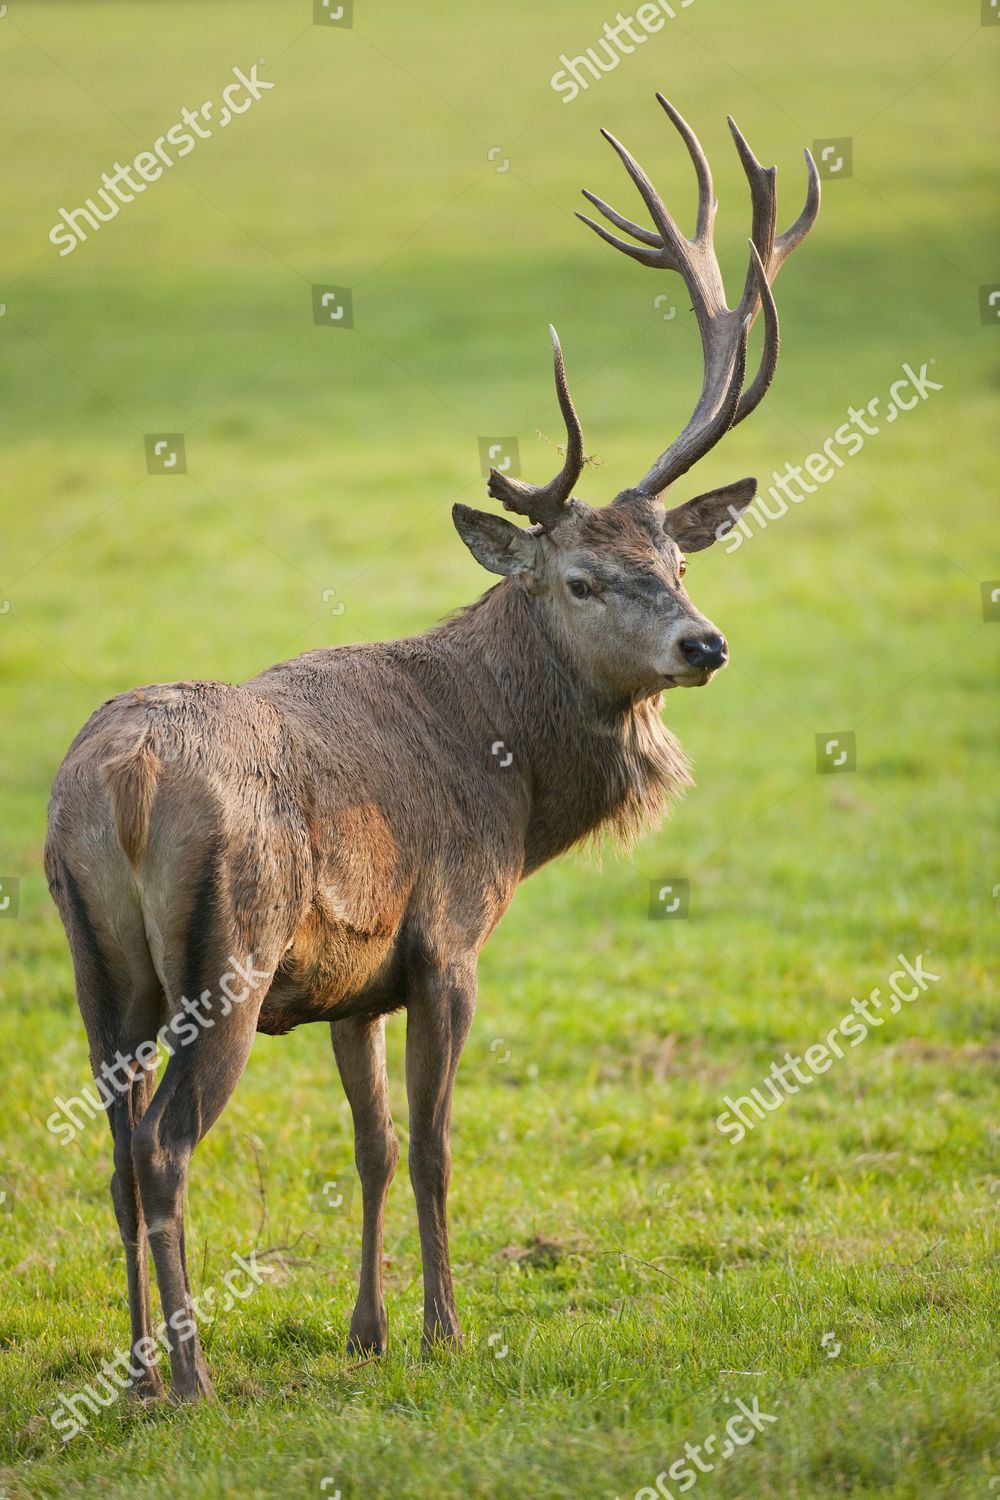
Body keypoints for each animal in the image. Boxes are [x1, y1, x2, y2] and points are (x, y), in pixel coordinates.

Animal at [45, 96, 819, 1403]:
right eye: (581, 576)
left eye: (676, 558)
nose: (704, 642)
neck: (509, 778)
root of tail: (119, 783)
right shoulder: (449, 936)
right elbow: (437, 1144)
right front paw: (444, 1329)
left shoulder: (353, 980)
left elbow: (368, 1145)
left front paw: (364, 1330)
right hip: (226, 951)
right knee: (162, 1147)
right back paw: (191, 1382)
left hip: (97, 961)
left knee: (109, 1142)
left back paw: (139, 1372)